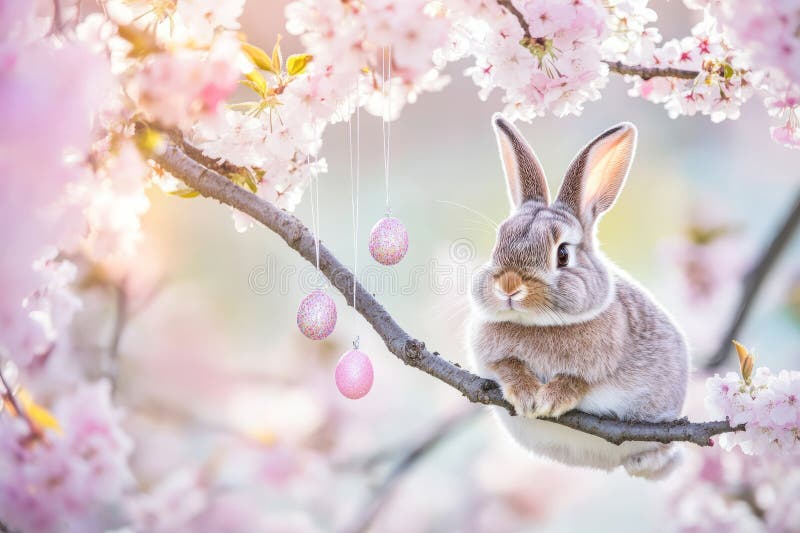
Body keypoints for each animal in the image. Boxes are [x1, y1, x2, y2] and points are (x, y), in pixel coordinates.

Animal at [468, 113, 689, 479]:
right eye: (497, 243)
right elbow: (507, 365)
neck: (541, 325)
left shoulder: (599, 367)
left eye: (562, 254)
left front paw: (550, 399)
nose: (509, 286)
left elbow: (579, 380)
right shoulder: (490, 358)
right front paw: (526, 395)